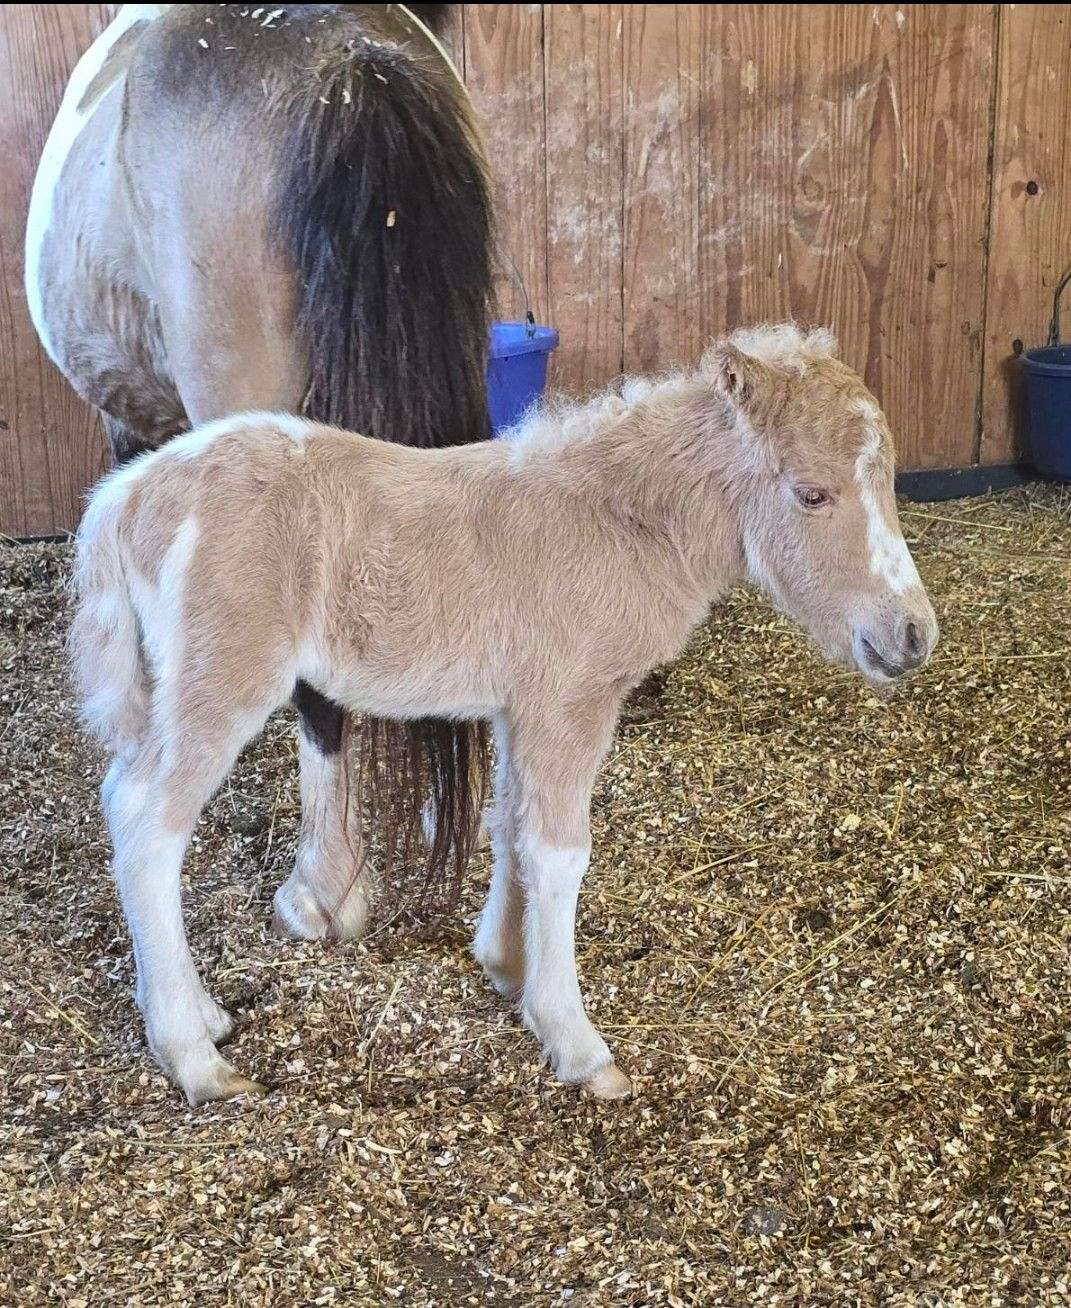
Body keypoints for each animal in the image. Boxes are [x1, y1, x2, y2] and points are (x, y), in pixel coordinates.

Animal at [70, 323, 940, 1105]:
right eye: (810, 493)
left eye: (891, 481)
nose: (910, 636)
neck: (615, 522)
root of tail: (128, 493)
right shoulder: (570, 701)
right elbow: (559, 852)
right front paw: (576, 1043)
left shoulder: (521, 704)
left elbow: (509, 826)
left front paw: (506, 966)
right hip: (222, 680)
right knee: (148, 820)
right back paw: (194, 1056)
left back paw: (202, 1015)